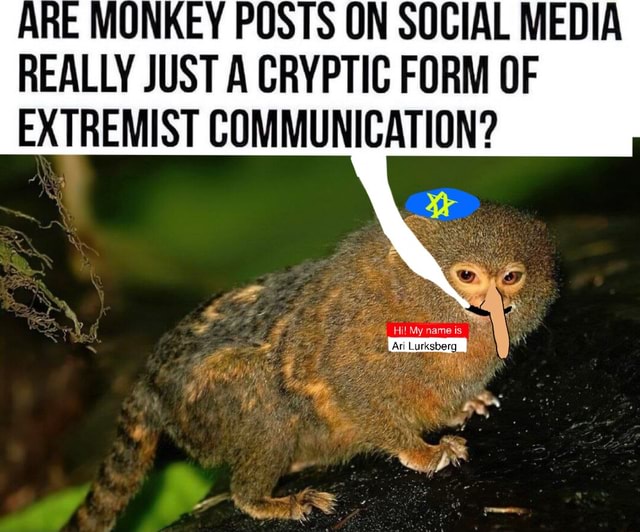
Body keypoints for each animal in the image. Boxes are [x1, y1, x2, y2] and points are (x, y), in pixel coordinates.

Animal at [63, 203, 558, 530]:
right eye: (467, 276)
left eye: (511, 277)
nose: (494, 302)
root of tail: (150, 383)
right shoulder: (358, 348)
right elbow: (354, 394)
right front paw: (423, 452)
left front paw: (462, 405)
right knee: (264, 403)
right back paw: (264, 499)